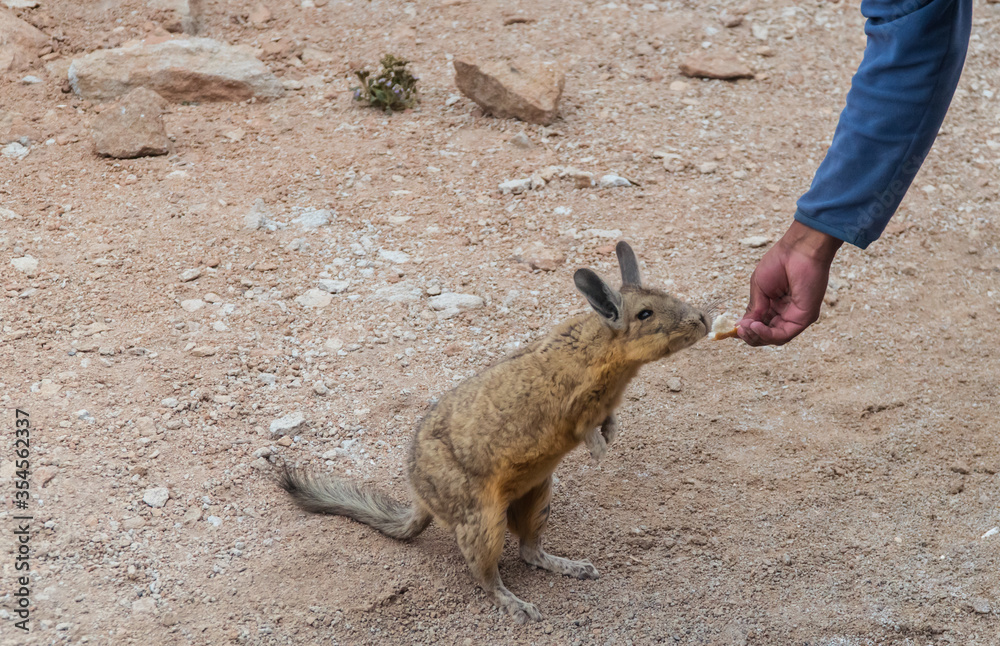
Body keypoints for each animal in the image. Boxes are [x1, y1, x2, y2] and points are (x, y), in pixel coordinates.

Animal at [280, 241, 709, 623]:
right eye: (645, 313)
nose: (703, 321)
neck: (607, 353)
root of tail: (419, 499)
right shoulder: (574, 408)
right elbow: (586, 429)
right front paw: (601, 451)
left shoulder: (604, 407)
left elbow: (610, 421)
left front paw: (612, 436)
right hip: (484, 522)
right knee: (486, 577)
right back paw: (520, 608)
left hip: (538, 496)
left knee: (530, 553)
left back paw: (576, 567)